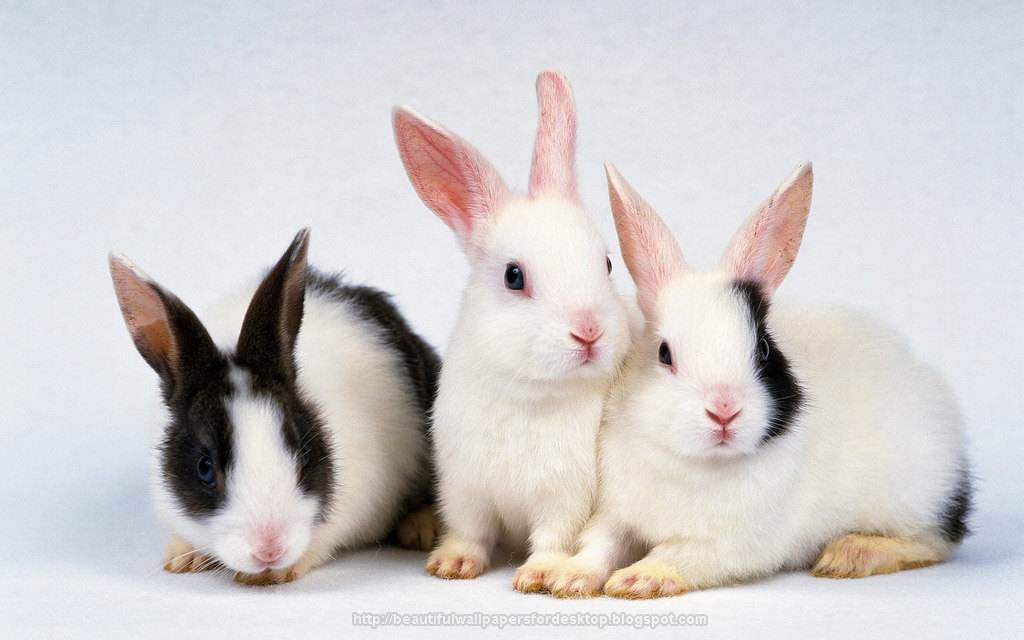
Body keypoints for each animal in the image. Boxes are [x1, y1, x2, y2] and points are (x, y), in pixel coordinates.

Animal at [108, 229, 441, 585]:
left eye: (305, 455)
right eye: (204, 468)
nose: (269, 551)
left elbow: (321, 541)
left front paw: (278, 573)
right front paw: (181, 557)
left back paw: (420, 529)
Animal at [391, 71, 636, 592]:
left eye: (606, 264)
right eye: (514, 276)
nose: (588, 332)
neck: (529, 392)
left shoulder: (565, 498)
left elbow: (554, 538)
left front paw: (539, 575)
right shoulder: (466, 488)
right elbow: (470, 531)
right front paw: (452, 565)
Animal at [545, 161, 972, 598]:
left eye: (764, 350)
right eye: (664, 354)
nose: (724, 411)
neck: (697, 462)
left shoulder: (725, 546)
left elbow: (676, 554)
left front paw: (638, 579)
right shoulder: (616, 514)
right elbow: (599, 545)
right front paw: (568, 577)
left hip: (915, 498)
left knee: (934, 541)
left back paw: (850, 554)